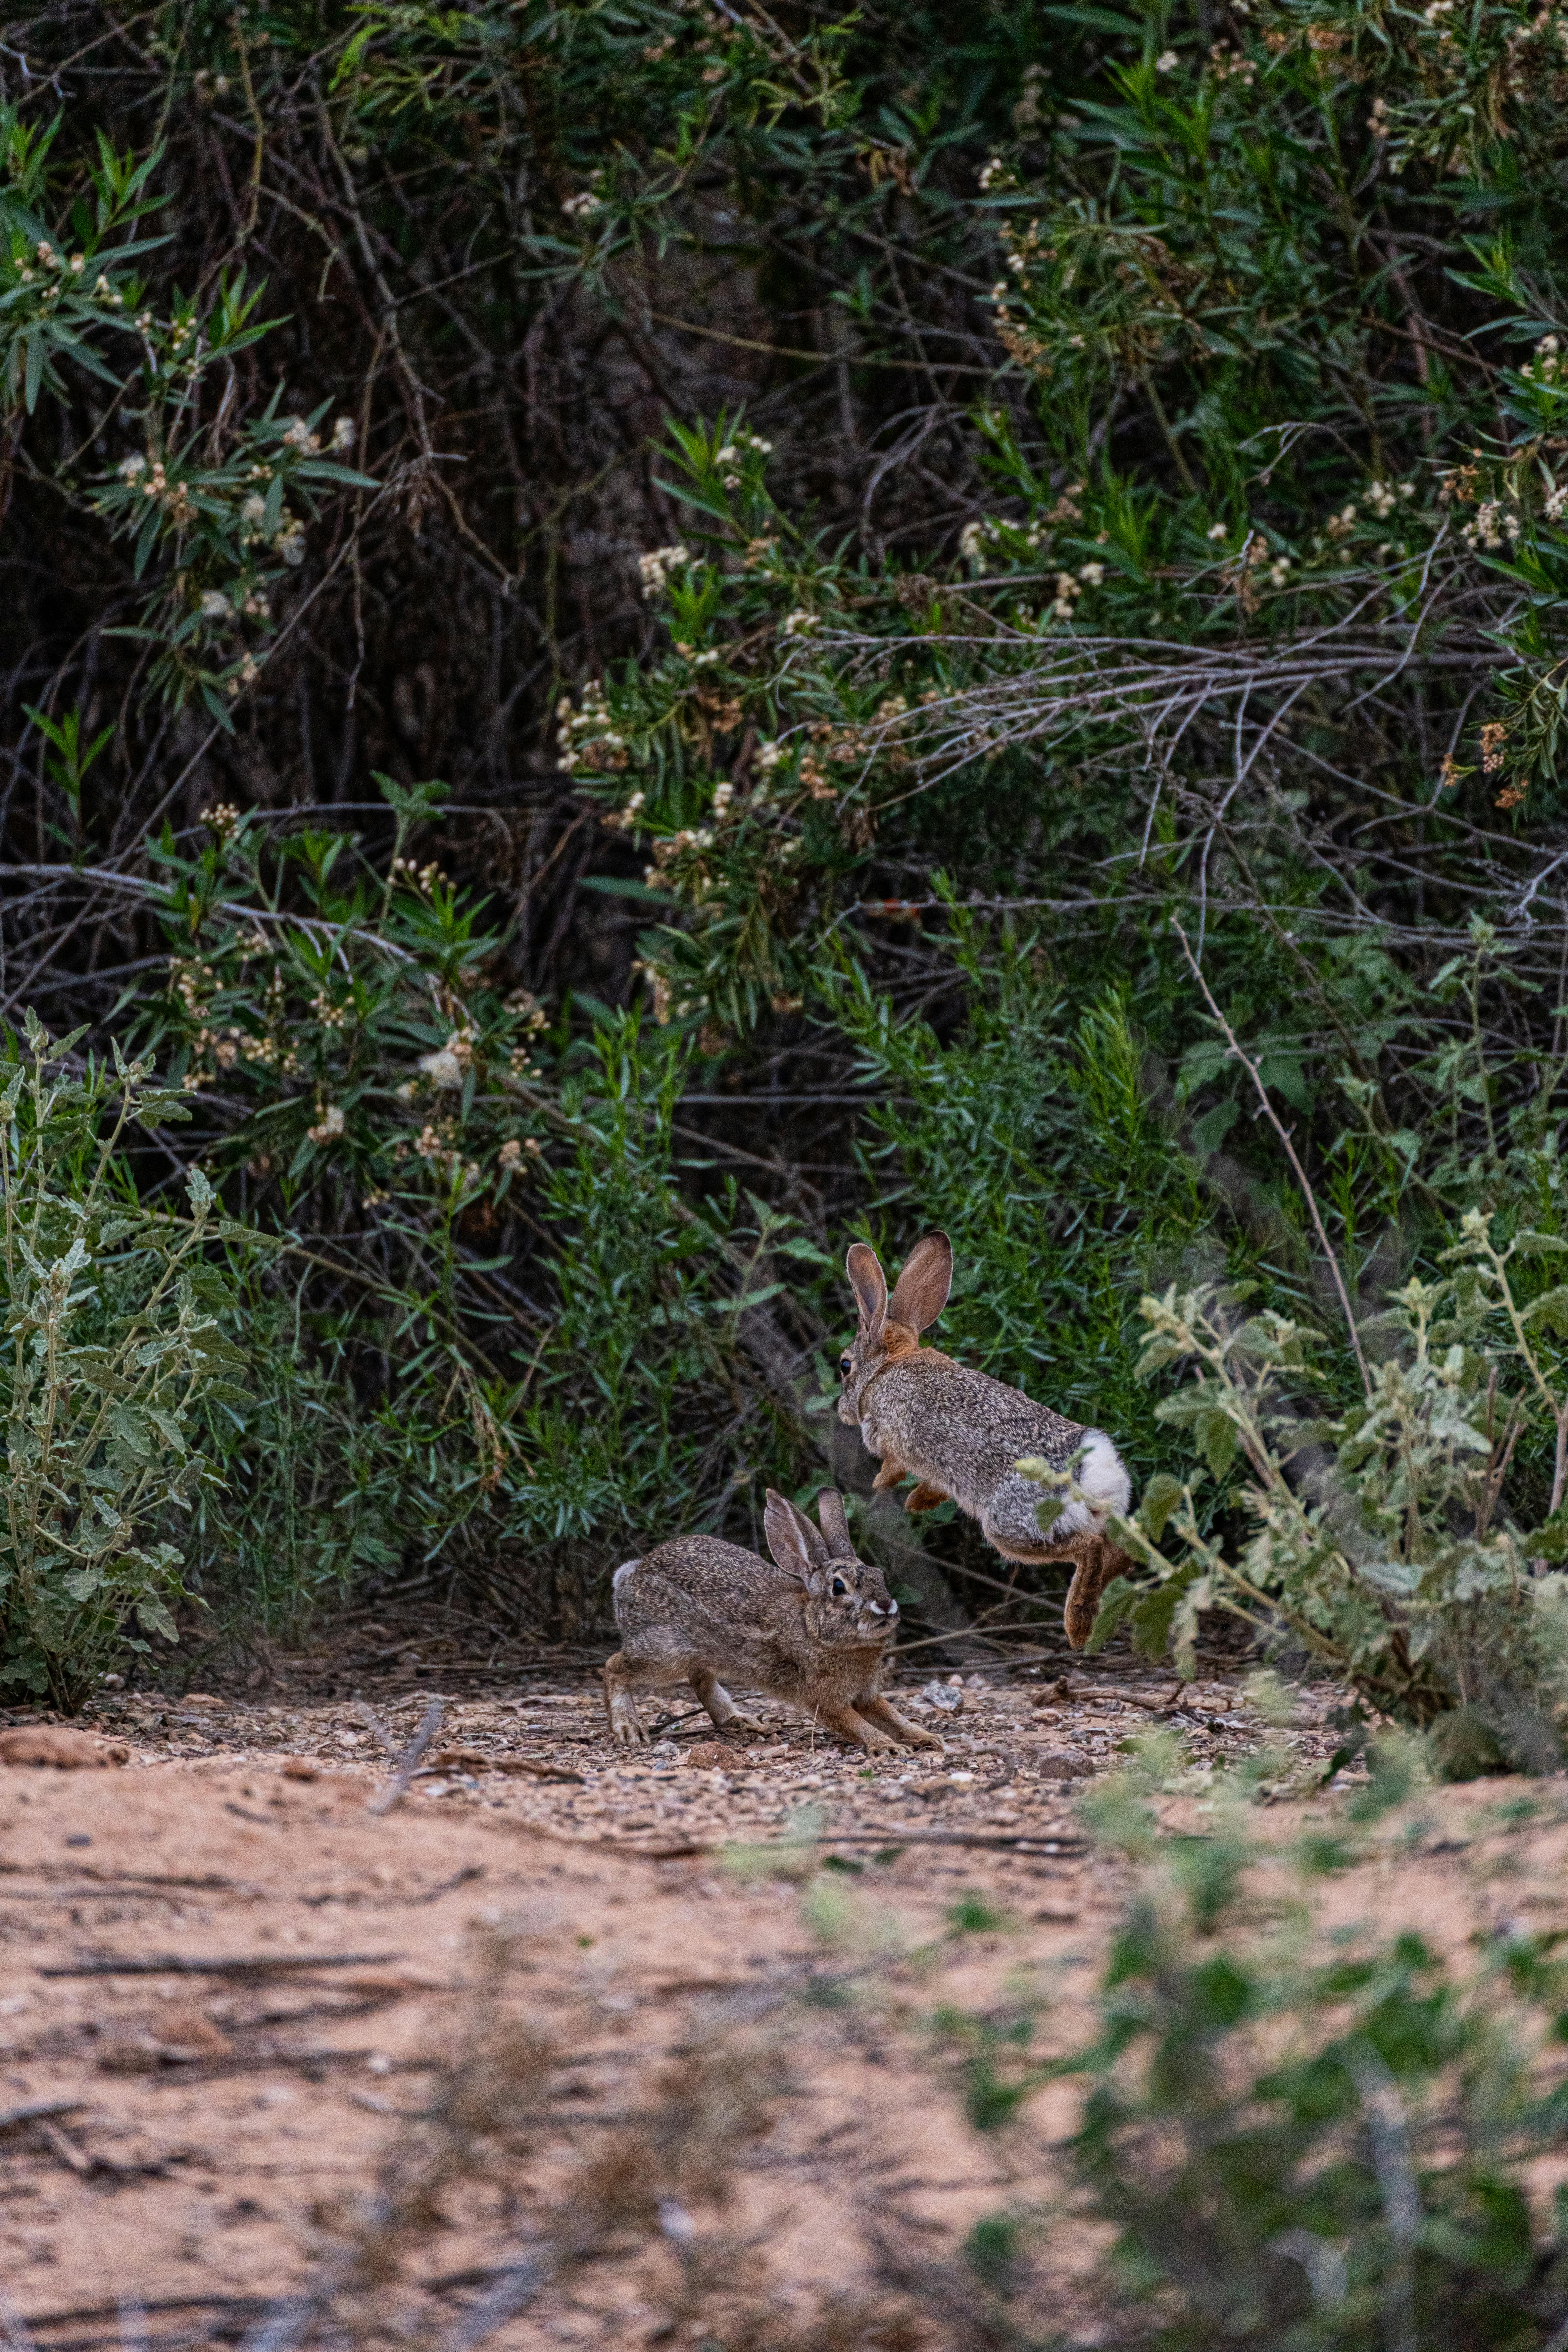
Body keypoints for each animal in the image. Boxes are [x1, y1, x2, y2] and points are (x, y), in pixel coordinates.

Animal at [603, 1486, 944, 1754]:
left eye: (879, 1576)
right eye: (839, 1587)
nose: (886, 1606)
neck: (813, 1629)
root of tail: (629, 1577)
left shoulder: (867, 1695)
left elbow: (893, 1716)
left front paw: (928, 1738)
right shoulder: (825, 1700)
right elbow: (854, 1724)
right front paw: (887, 1746)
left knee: (700, 1677)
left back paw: (739, 1720)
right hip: (665, 1652)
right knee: (614, 1666)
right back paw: (628, 1729)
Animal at [837, 1231, 1133, 1649]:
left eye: (844, 1366)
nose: (842, 1411)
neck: (887, 1369)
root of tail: (1090, 1476)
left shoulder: (893, 1439)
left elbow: (896, 1468)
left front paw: (884, 1487)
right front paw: (915, 1503)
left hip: (1010, 1529)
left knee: (1089, 1549)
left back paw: (1077, 1625)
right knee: (1119, 1552)